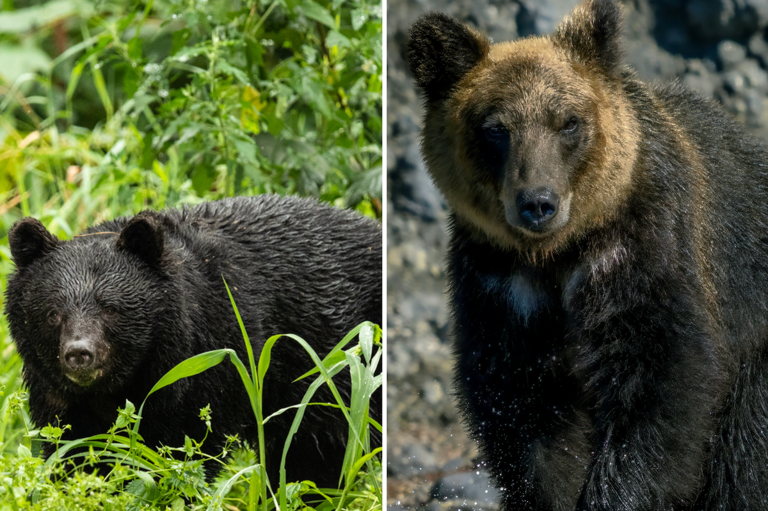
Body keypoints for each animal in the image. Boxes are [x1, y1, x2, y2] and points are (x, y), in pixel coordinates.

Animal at [4, 195, 382, 489]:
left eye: (110, 308)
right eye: (53, 313)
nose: (79, 354)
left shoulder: (211, 366)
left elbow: (183, 453)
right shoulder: (61, 398)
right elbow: (75, 451)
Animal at [408, 0, 768, 509]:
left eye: (568, 122)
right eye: (496, 129)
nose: (537, 202)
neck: (557, 254)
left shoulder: (641, 248)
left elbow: (659, 376)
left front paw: (613, 492)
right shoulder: (500, 282)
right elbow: (521, 403)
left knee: (744, 456)